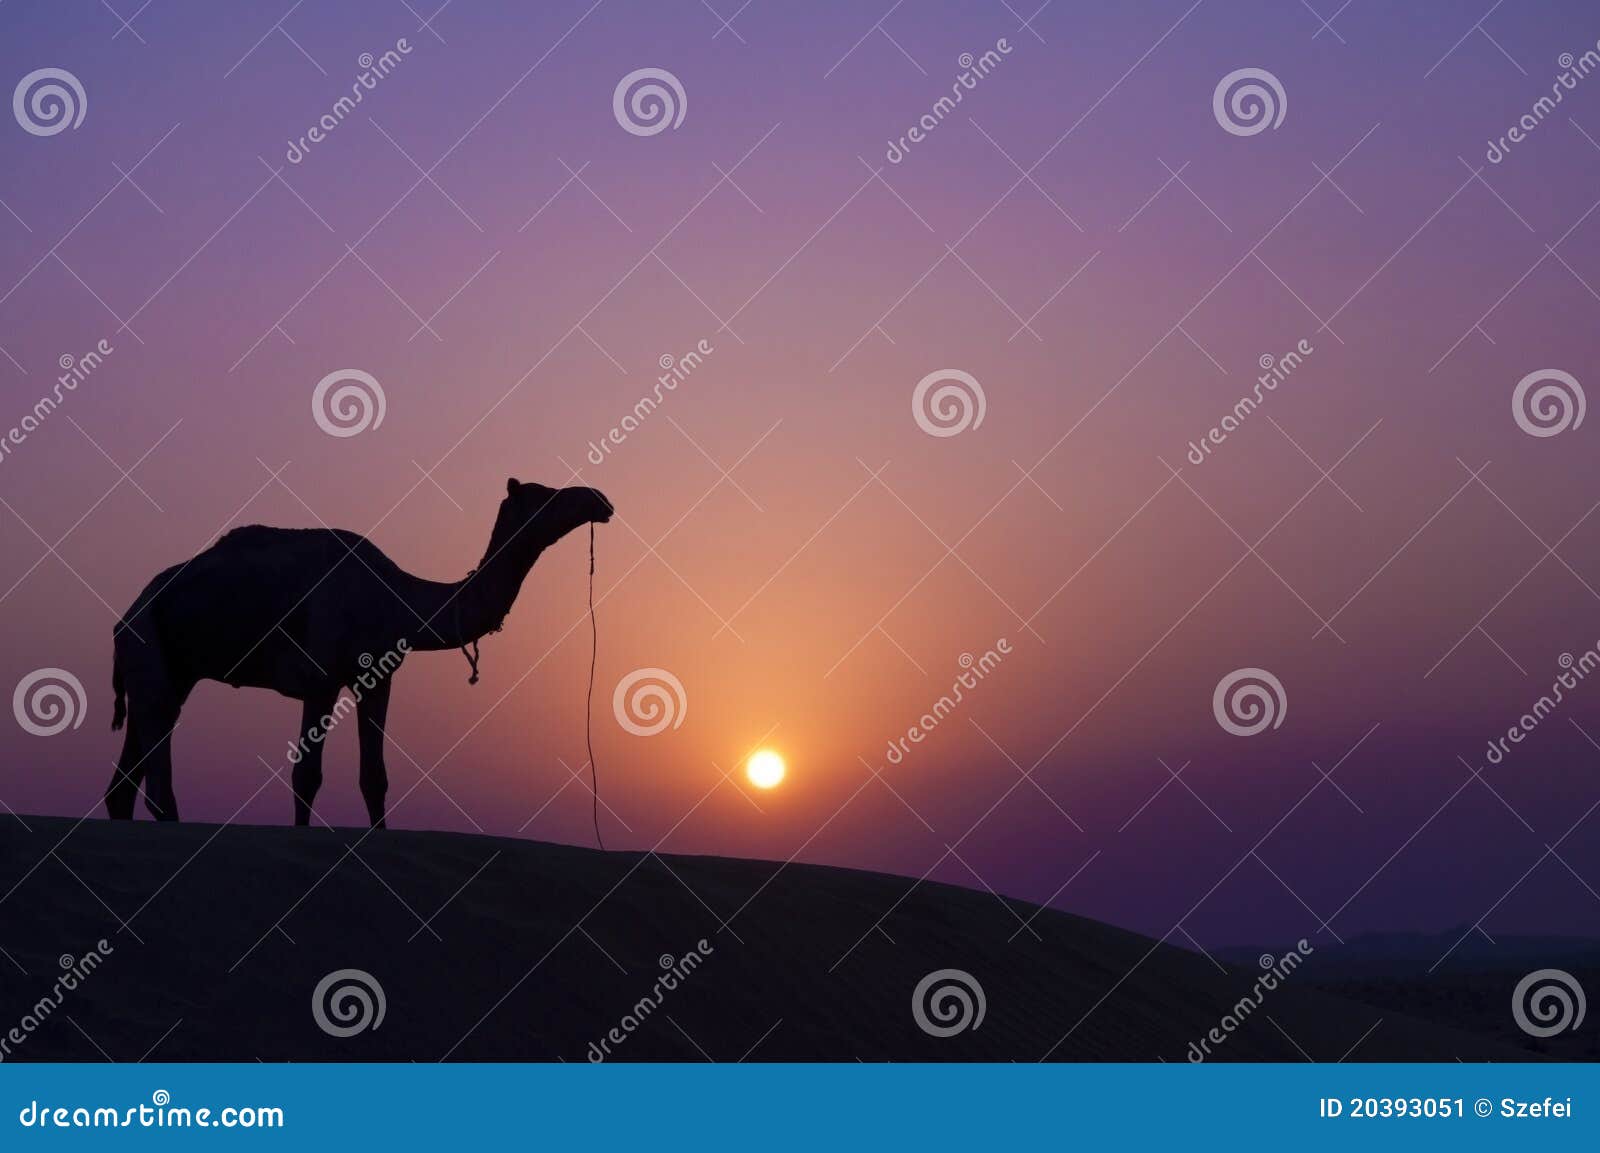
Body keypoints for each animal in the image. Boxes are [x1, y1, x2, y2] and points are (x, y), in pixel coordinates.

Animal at [107, 478, 613, 827]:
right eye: (545, 495)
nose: (598, 498)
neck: (399, 600)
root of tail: (125, 616)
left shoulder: (378, 679)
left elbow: (375, 776)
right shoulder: (321, 679)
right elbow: (306, 776)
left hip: (169, 667)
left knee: (129, 773)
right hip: (146, 642)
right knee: (156, 763)